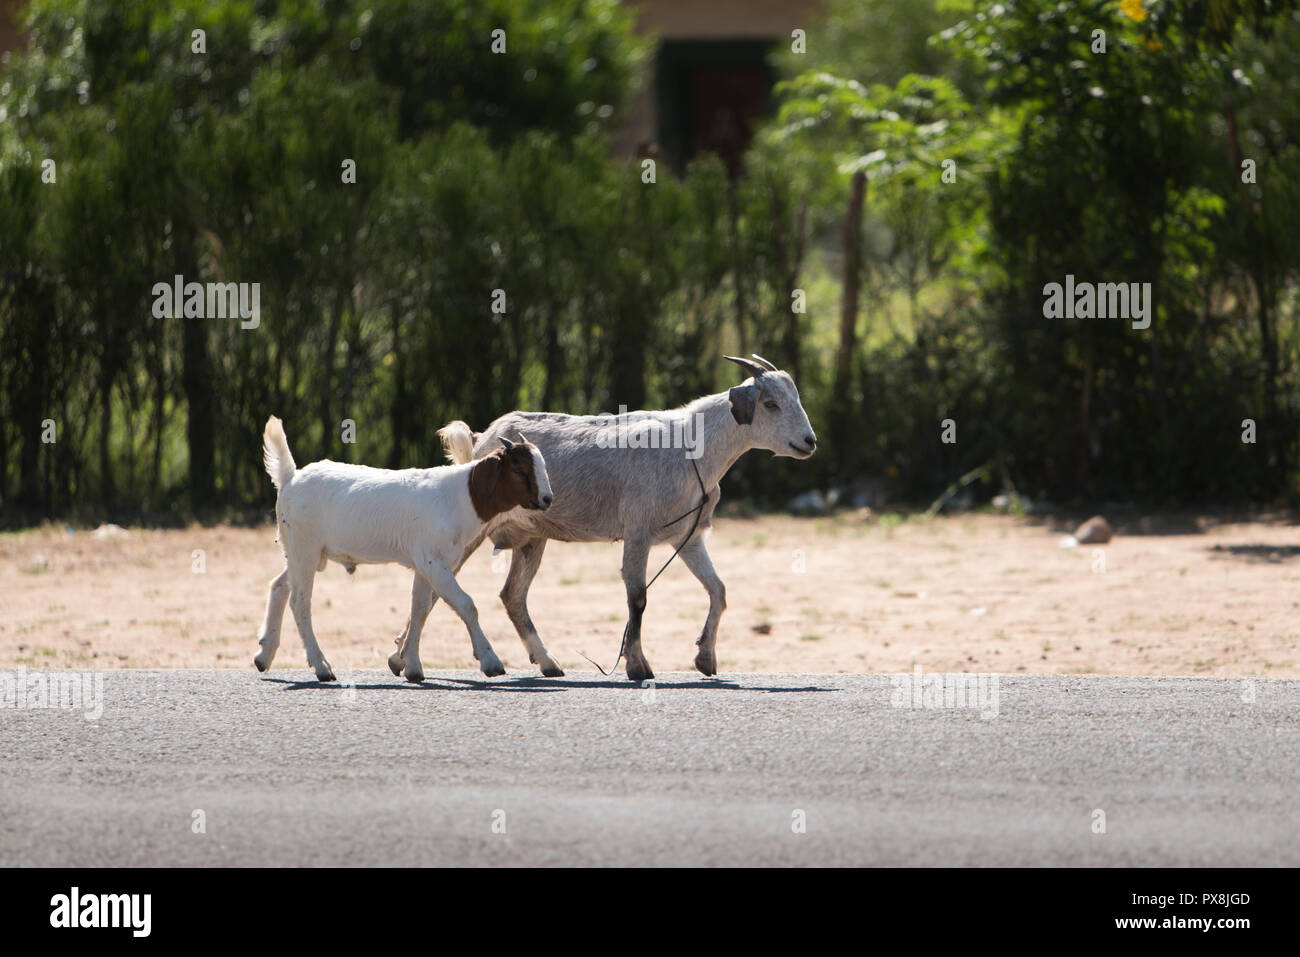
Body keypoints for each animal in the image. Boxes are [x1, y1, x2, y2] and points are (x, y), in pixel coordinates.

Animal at [253, 415, 553, 683]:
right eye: (519, 469)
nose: (547, 499)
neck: (460, 494)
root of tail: (290, 478)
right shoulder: (434, 562)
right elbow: (466, 604)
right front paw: (491, 661)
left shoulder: (424, 564)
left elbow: (419, 609)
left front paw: (413, 667)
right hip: (305, 547)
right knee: (299, 602)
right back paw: (321, 667)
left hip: (303, 551)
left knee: (279, 586)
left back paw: (264, 656)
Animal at [387, 354, 817, 683]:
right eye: (771, 404)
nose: (810, 442)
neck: (691, 449)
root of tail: (483, 440)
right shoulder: (639, 531)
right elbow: (638, 597)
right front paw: (639, 666)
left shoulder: (687, 537)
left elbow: (719, 590)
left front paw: (705, 658)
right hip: (474, 532)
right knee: (429, 590)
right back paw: (403, 661)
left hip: (532, 536)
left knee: (511, 595)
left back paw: (548, 663)